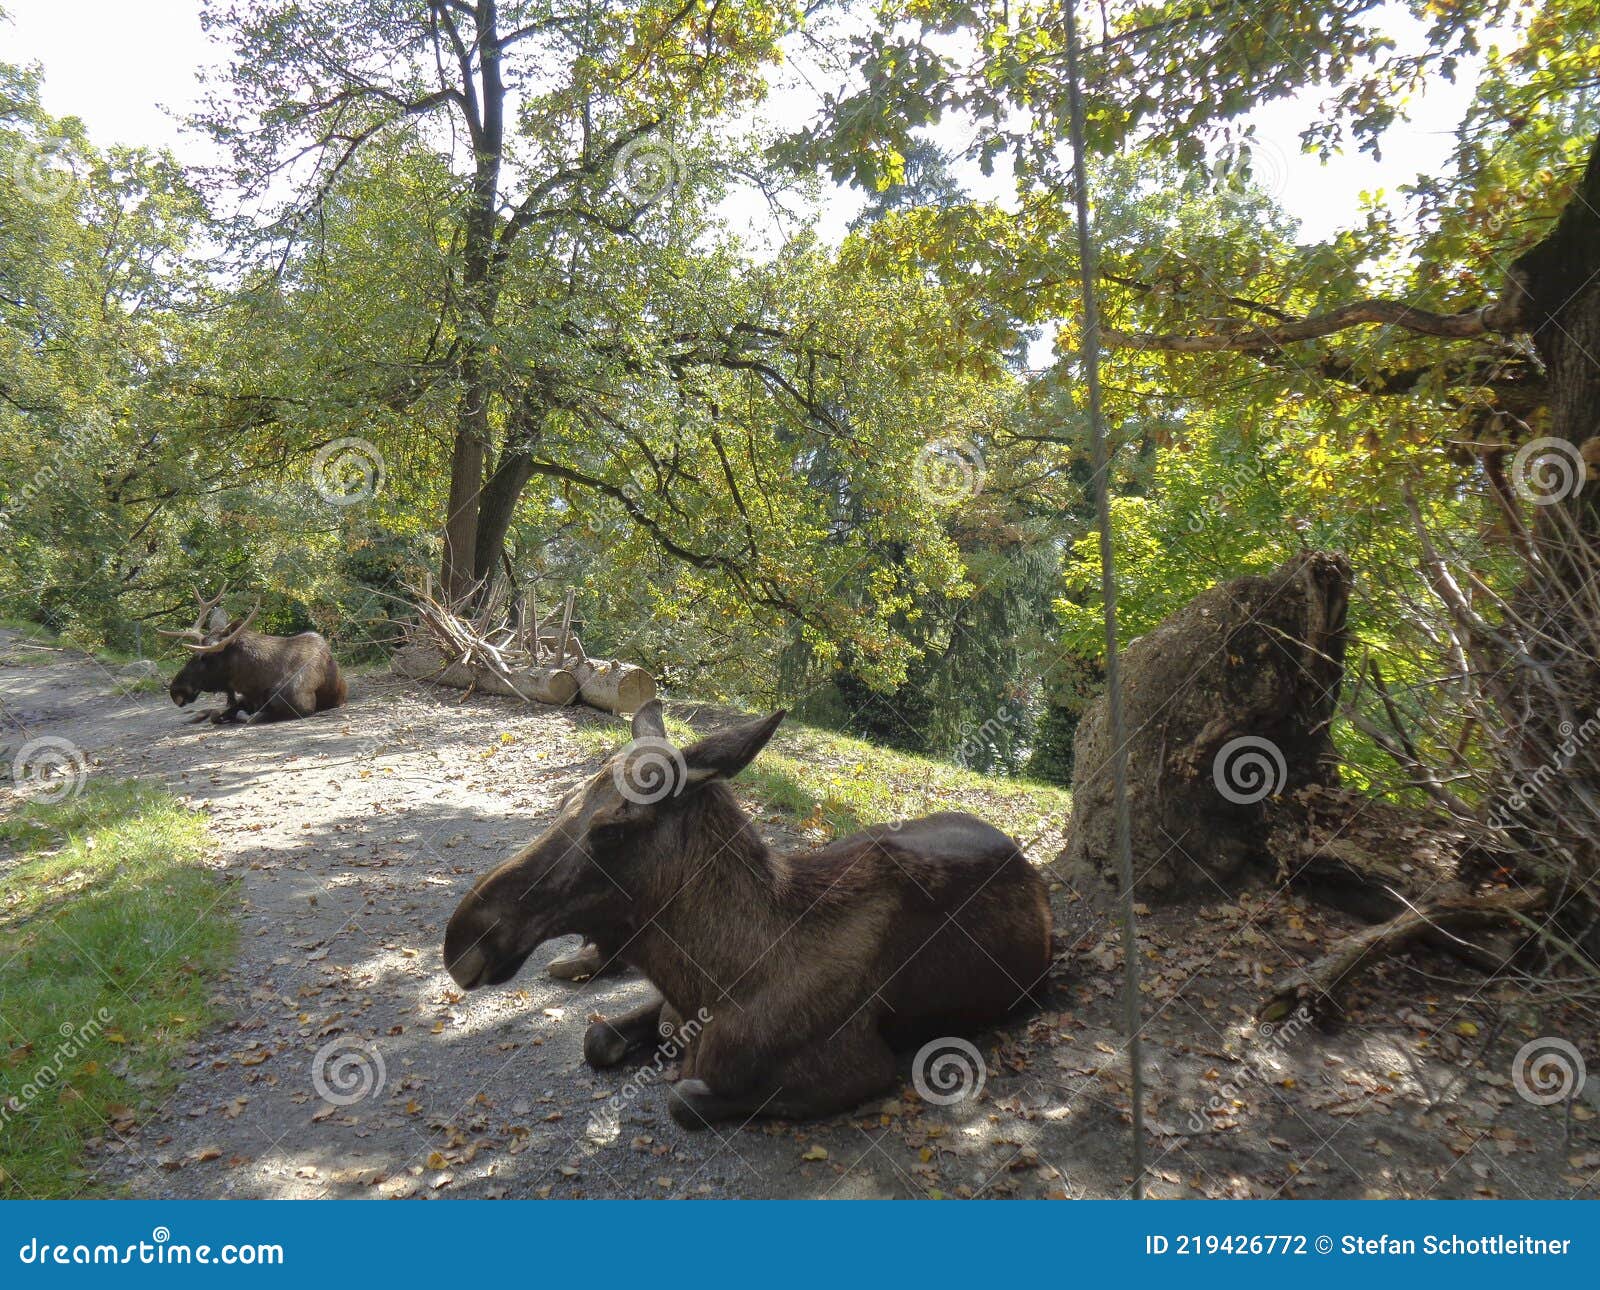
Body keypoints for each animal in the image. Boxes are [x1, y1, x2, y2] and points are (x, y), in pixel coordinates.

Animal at [161, 586, 347, 724]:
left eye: (205, 657)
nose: (175, 690)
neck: (256, 682)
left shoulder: (302, 706)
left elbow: (249, 717)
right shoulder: (245, 697)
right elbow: (218, 713)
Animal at [443, 701, 1053, 1128]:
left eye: (611, 828)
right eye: (566, 799)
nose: (462, 939)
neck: (717, 980)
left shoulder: (863, 1069)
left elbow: (684, 1098)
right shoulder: (669, 1004)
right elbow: (596, 1037)